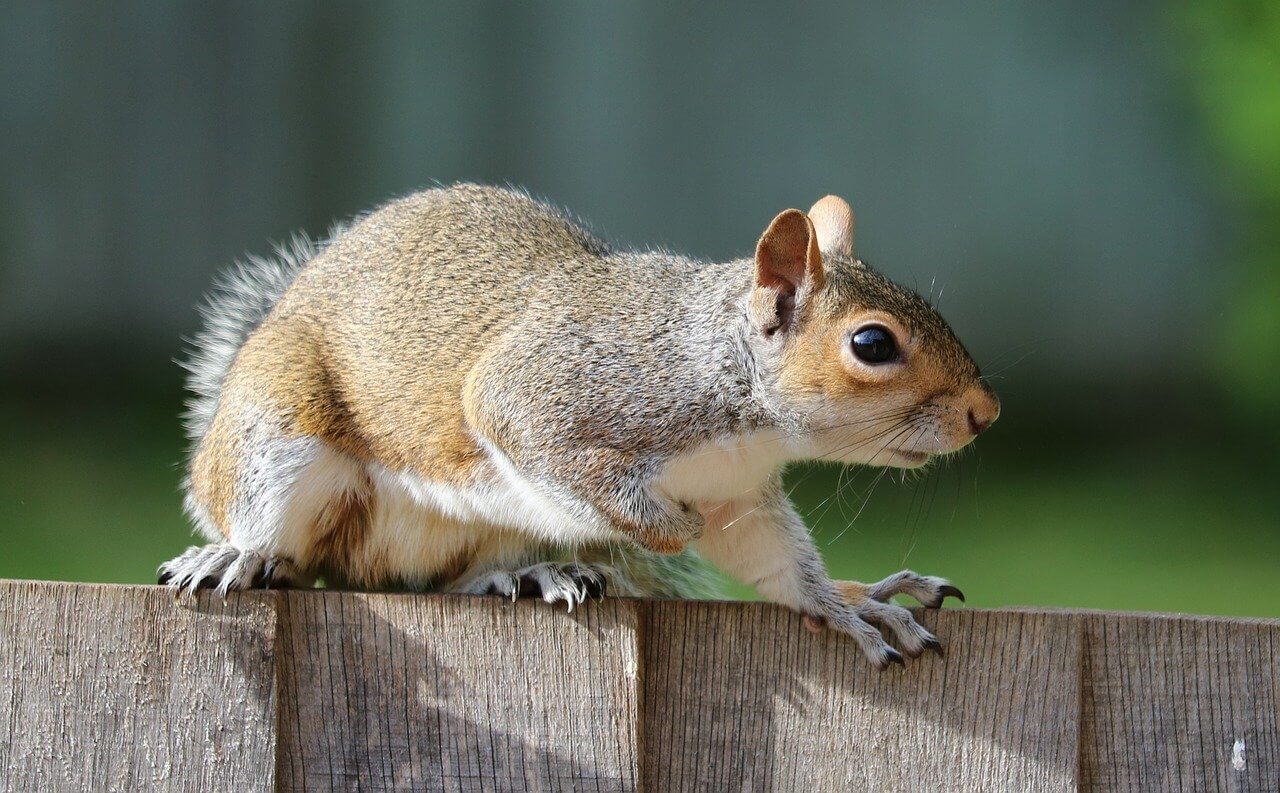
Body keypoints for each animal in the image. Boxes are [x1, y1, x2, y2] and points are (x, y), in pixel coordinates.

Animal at [159, 184, 999, 668]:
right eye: (872, 344)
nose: (984, 413)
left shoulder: (738, 495)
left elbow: (776, 564)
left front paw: (848, 604)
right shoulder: (546, 395)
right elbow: (552, 452)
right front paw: (664, 528)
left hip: (480, 534)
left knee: (441, 580)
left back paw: (529, 572)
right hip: (278, 435)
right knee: (285, 541)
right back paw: (237, 556)